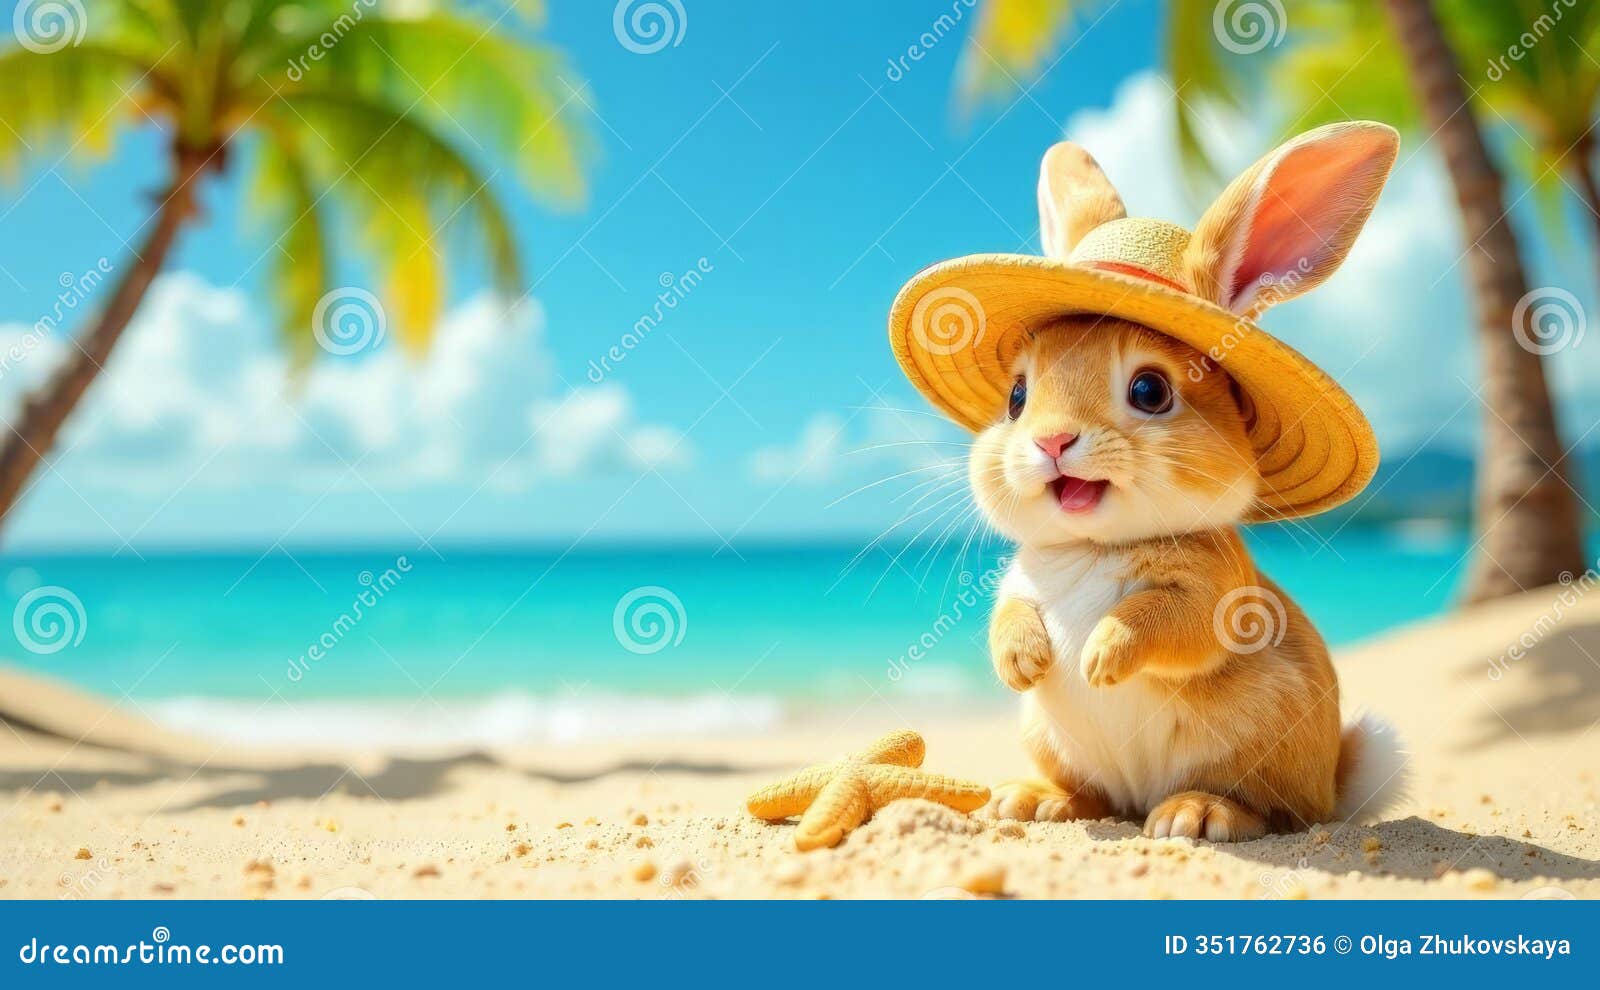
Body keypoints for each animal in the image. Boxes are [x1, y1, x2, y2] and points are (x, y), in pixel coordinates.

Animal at [969, 124, 1408, 840]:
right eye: (1016, 397)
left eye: (1150, 390)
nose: (1052, 441)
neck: (1096, 546)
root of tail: (1330, 788)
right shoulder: (1022, 584)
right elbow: (1009, 615)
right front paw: (1024, 663)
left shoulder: (1214, 594)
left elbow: (1161, 620)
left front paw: (1099, 659)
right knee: (1094, 796)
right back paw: (1033, 800)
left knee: (1271, 811)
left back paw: (1195, 814)